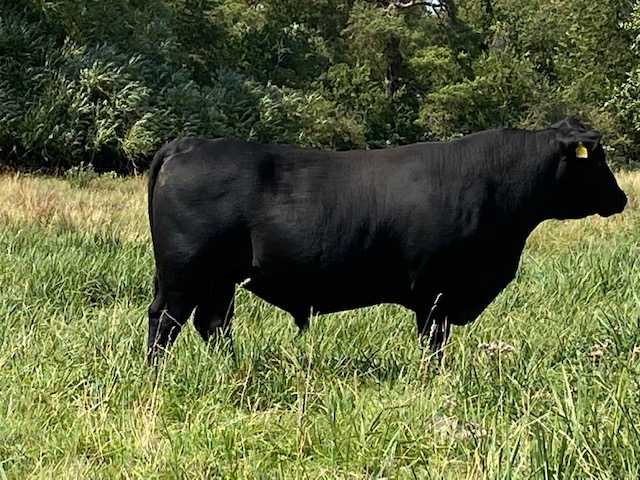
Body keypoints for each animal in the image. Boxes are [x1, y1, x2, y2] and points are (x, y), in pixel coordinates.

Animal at [146, 117, 627, 363]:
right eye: (597, 160)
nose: (621, 198)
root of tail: (190, 143)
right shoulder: (437, 290)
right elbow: (433, 343)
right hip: (184, 270)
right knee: (165, 321)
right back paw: (158, 375)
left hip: (219, 278)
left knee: (212, 323)